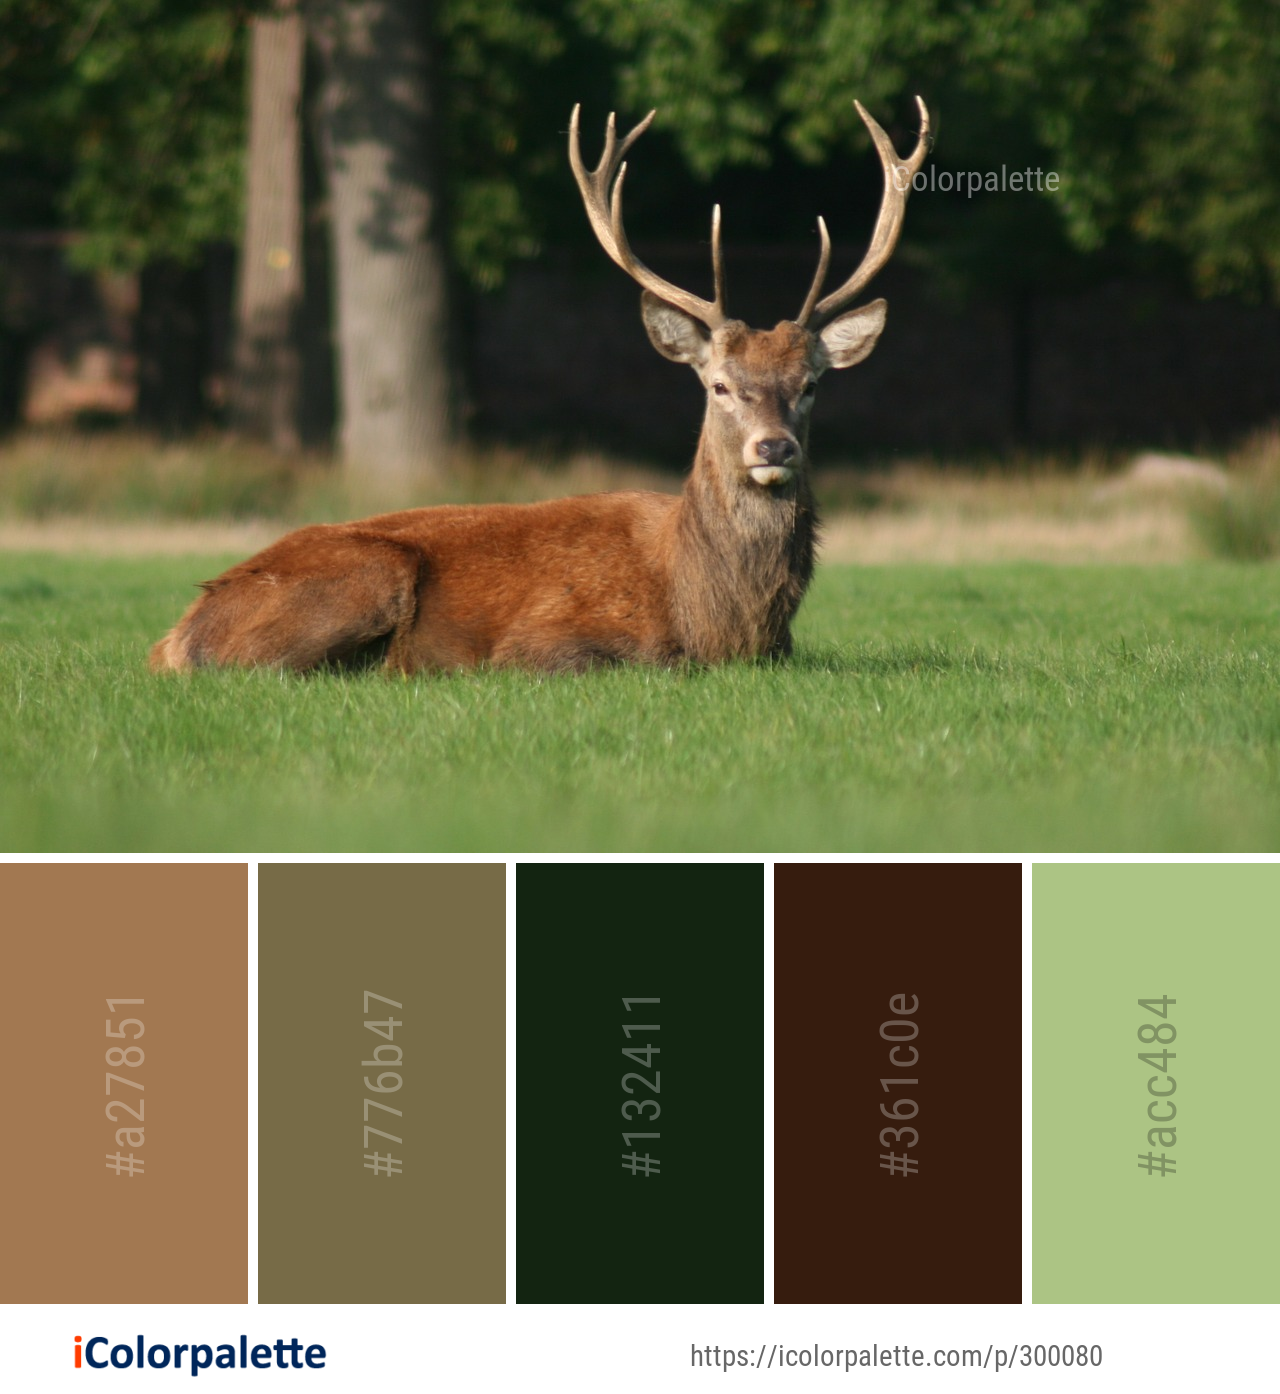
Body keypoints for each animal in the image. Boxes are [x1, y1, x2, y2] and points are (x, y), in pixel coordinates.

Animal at [150, 98, 931, 674]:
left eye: (811, 384)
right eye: (717, 384)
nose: (773, 448)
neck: (719, 619)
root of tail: (174, 636)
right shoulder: (544, 640)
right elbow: (638, 661)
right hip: (365, 575)